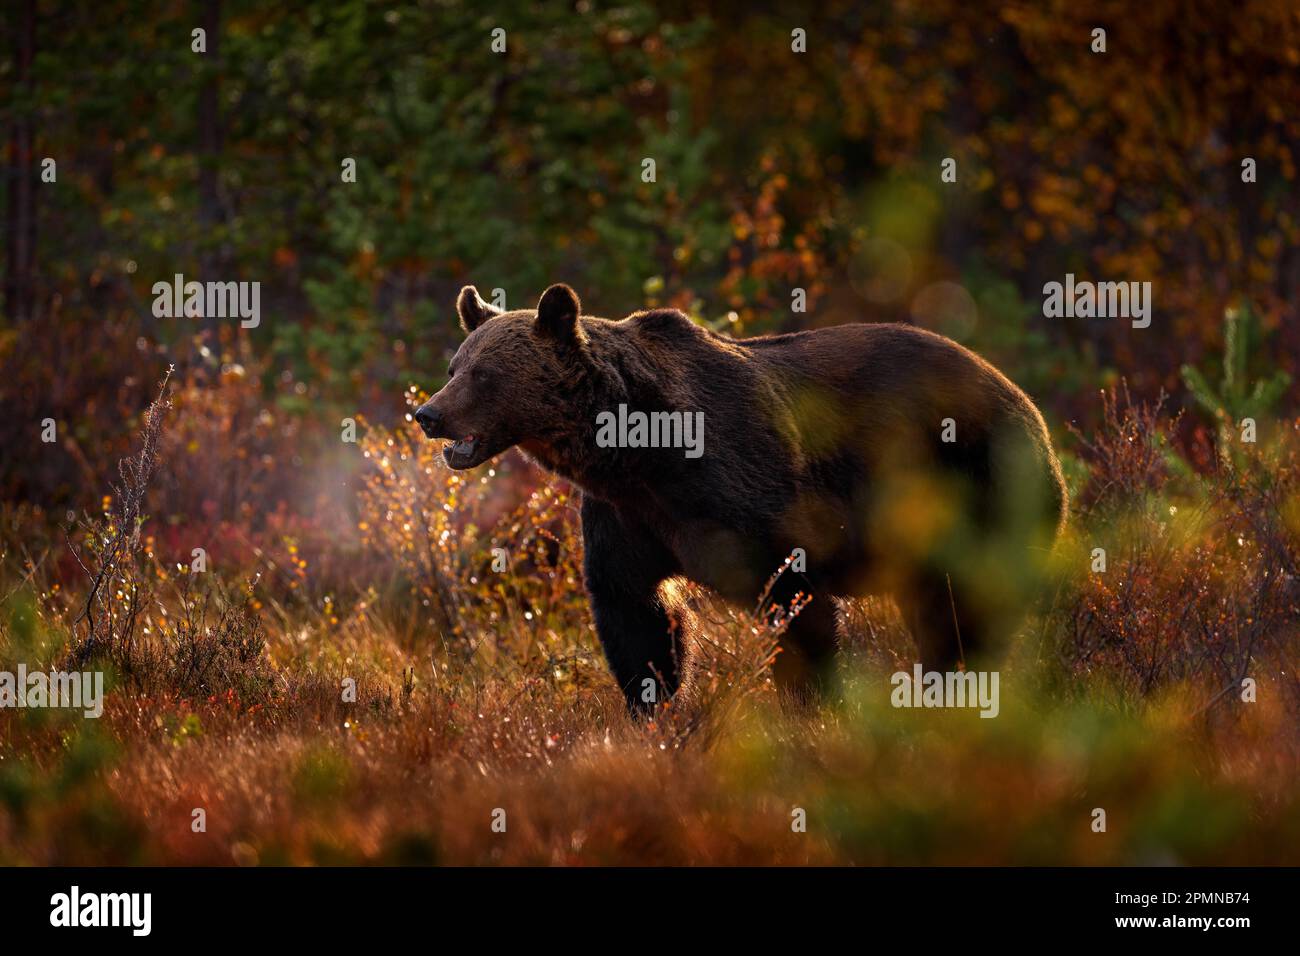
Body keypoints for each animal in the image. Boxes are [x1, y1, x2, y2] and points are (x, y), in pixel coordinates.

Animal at [415, 283, 1067, 712]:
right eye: (454, 366)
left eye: (482, 374)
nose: (428, 414)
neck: (634, 454)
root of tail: (1028, 404)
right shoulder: (627, 519)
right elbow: (635, 615)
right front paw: (651, 711)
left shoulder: (744, 492)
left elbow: (796, 599)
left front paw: (810, 703)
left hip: (981, 479)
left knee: (970, 600)